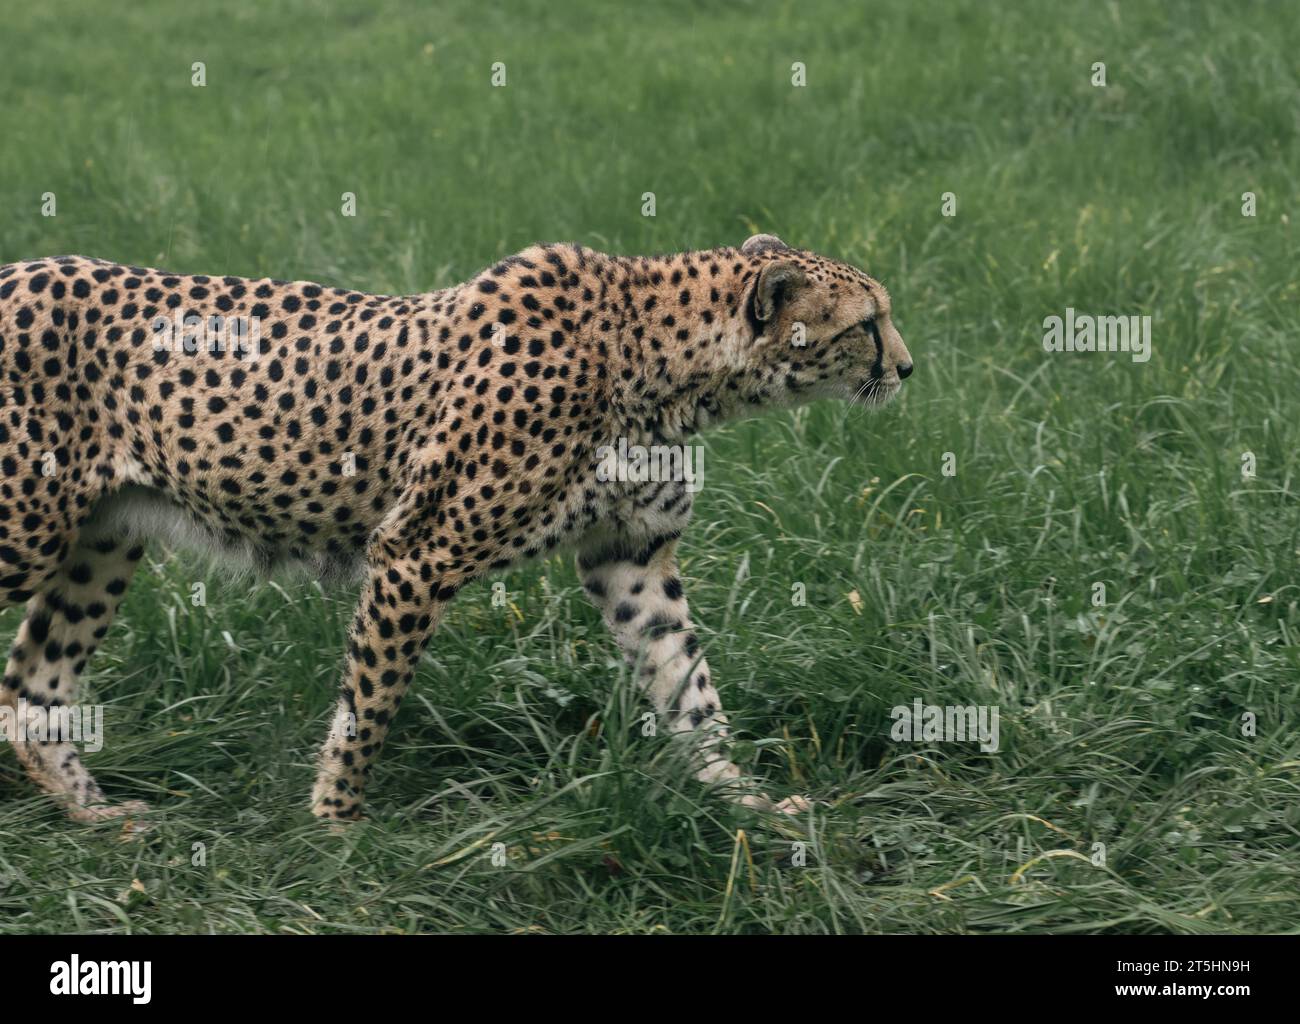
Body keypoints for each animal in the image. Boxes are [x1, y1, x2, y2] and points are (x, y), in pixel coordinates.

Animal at [0, 232, 912, 824]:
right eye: (866, 322)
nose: (906, 367)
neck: (655, 357)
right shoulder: (415, 552)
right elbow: (369, 704)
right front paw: (337, 827)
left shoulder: (631, 557)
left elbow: (687, 683)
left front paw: (743, 800)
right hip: (27, 532)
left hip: (98, 539)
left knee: (30, 691)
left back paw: (96, 816)